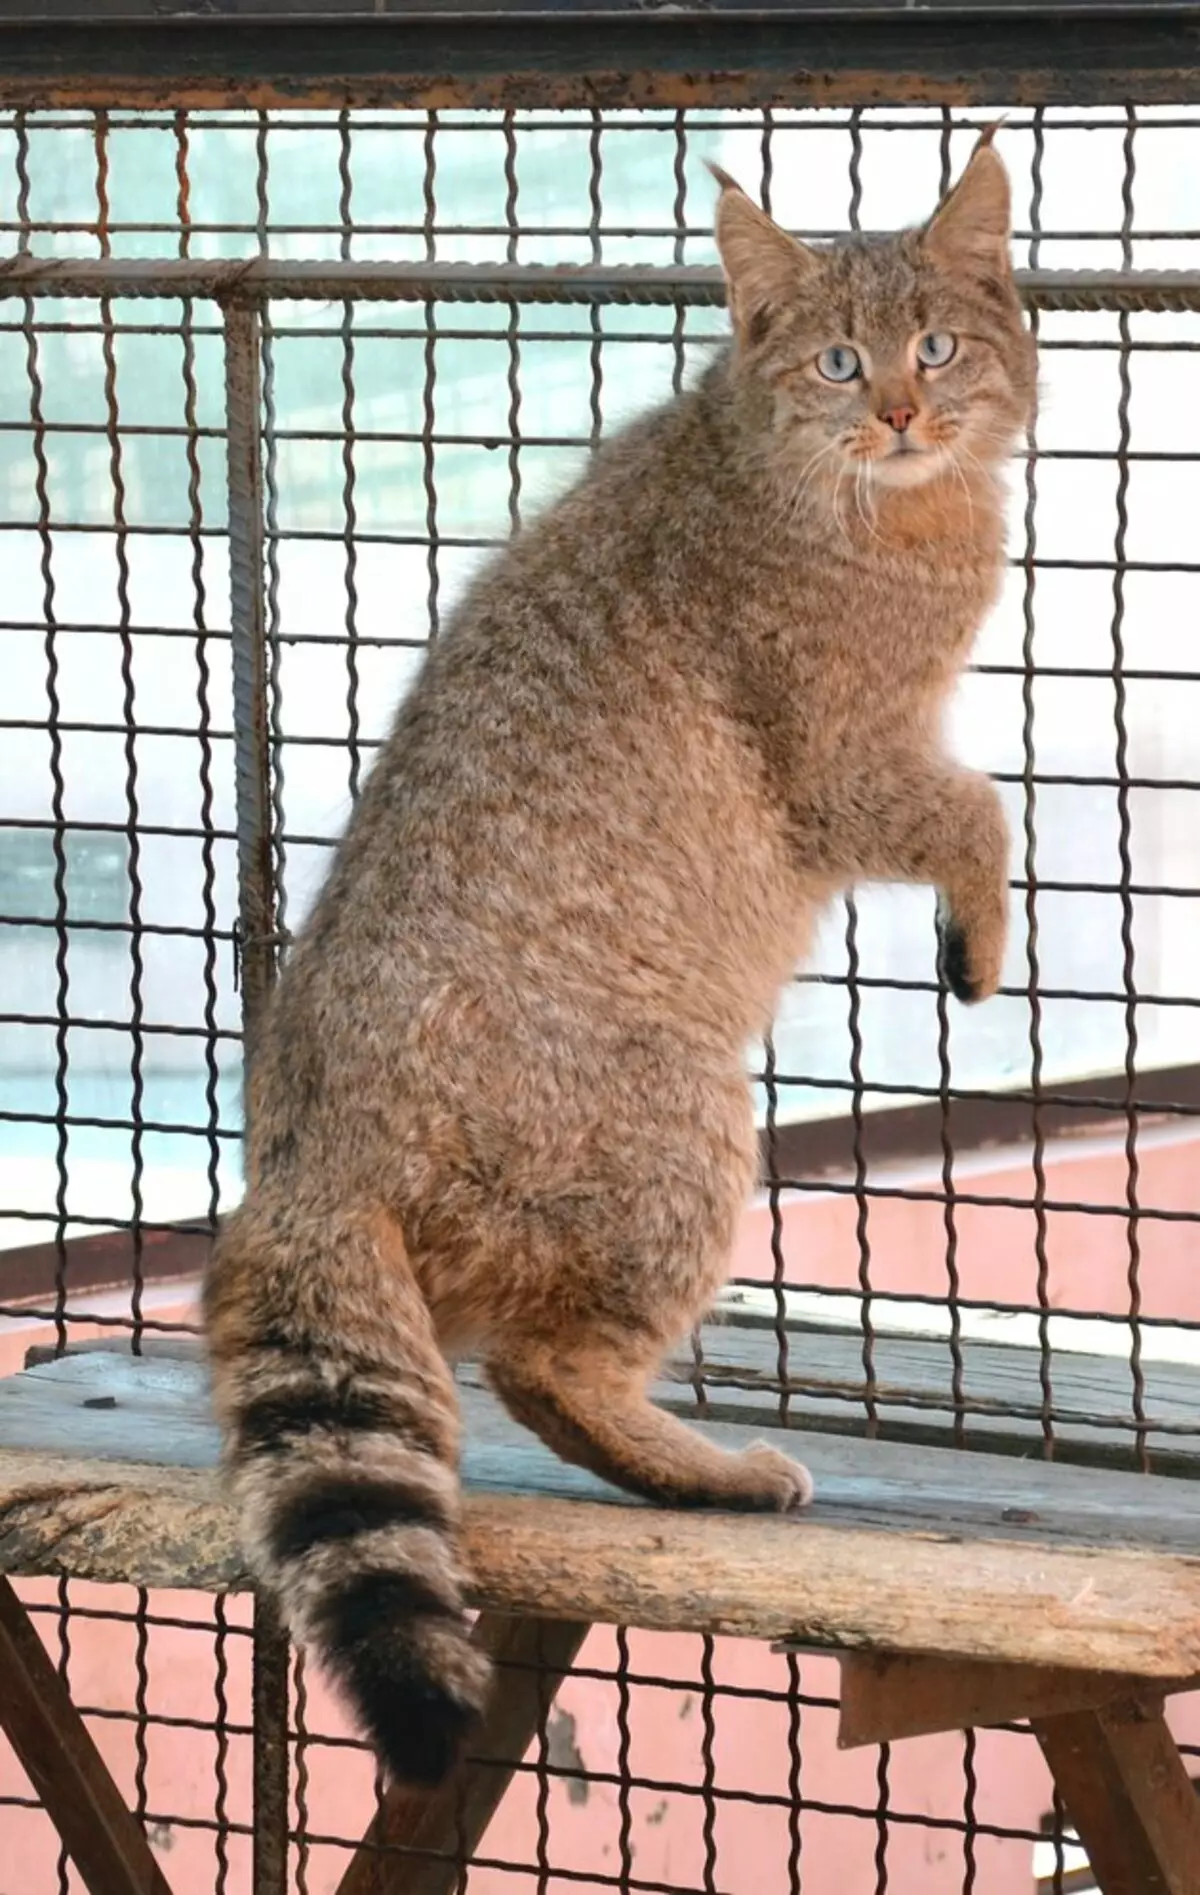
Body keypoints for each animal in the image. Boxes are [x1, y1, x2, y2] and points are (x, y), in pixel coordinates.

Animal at [203, 137, 1031, 1788]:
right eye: (840, 361)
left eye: (937, 344)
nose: (902, 413)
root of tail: (303, 1157)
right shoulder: (845, 764)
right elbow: (980, 804)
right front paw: (977, 935)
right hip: (680, 1123)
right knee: (547, 1364)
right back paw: (711, 1467)